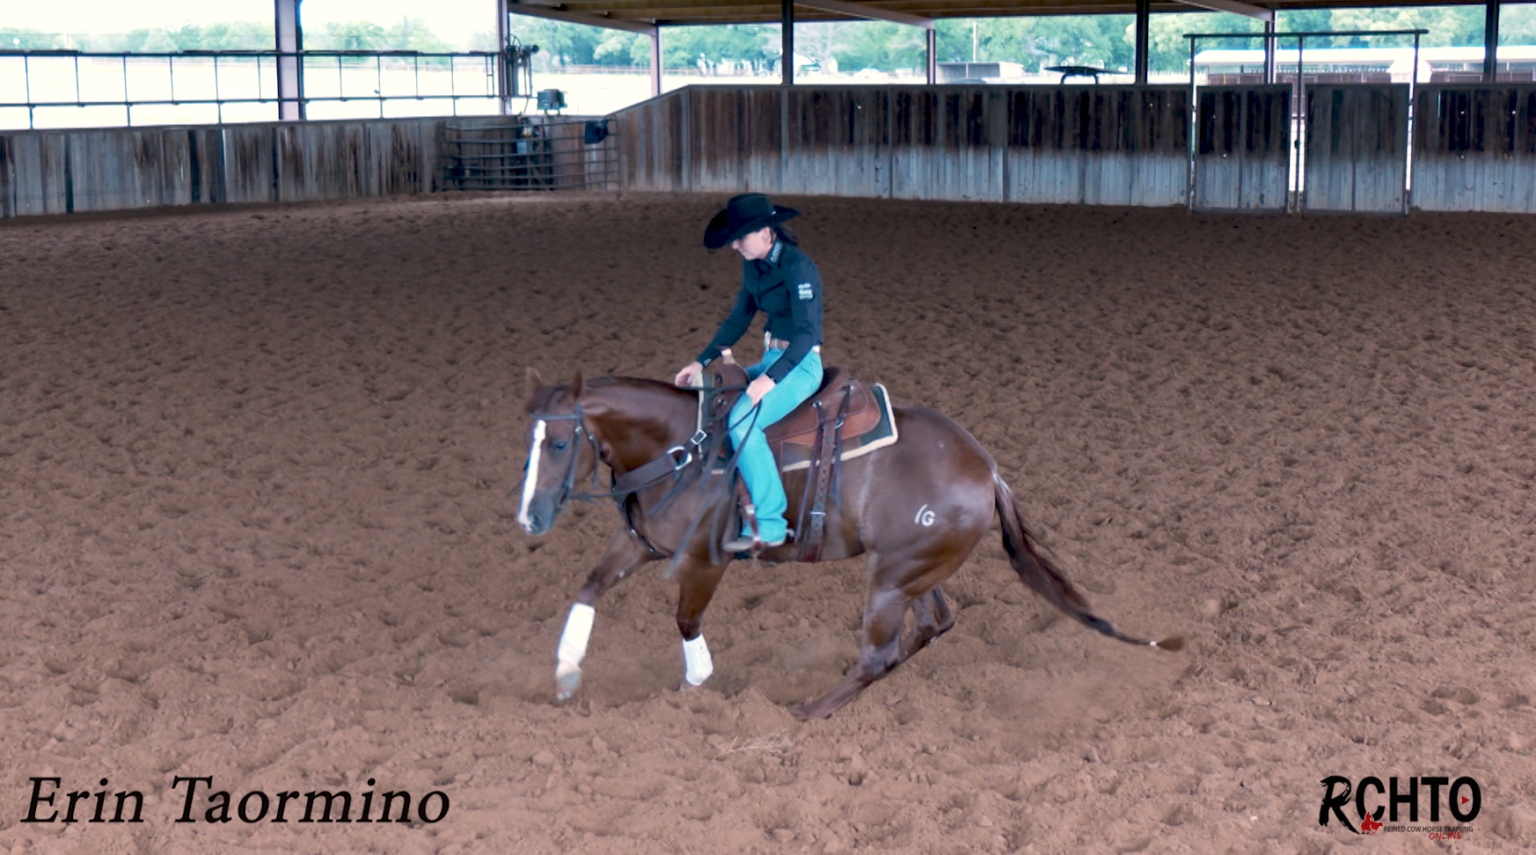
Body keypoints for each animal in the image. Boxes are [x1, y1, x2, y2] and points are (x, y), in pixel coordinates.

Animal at [516, 365, 1183, 721]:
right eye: (529, 441)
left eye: (559, 443)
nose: (529, 519)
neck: (683, 446)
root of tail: (987, 470)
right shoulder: (641, 544)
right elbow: (589, 588)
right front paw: (566, 675)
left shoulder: (704, 560)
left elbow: (685, 620)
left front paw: (697, 688)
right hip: (914, 573)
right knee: (934, 623)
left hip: (890, 579)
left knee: (879, 654)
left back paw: (808, 712)